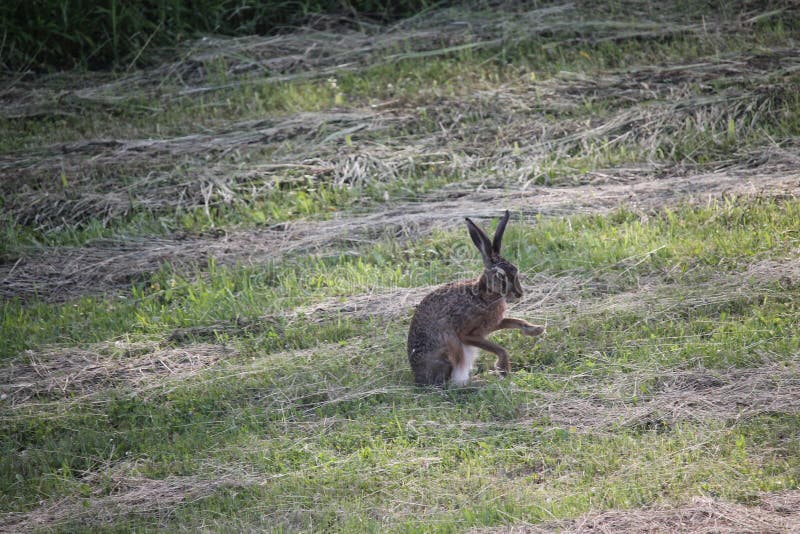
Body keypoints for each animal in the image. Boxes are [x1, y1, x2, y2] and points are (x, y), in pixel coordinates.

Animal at [407, 210, 545, 386]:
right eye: (500, 275)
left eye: (515, 269)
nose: (519, 294)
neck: (483, 295)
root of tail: (419, 379)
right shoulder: (467, 334)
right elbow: (500, 349)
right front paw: (503, 369)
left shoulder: (490, 325)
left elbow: (513, 321)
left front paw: (536, 329)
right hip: (448, 352)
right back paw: (479, 381)